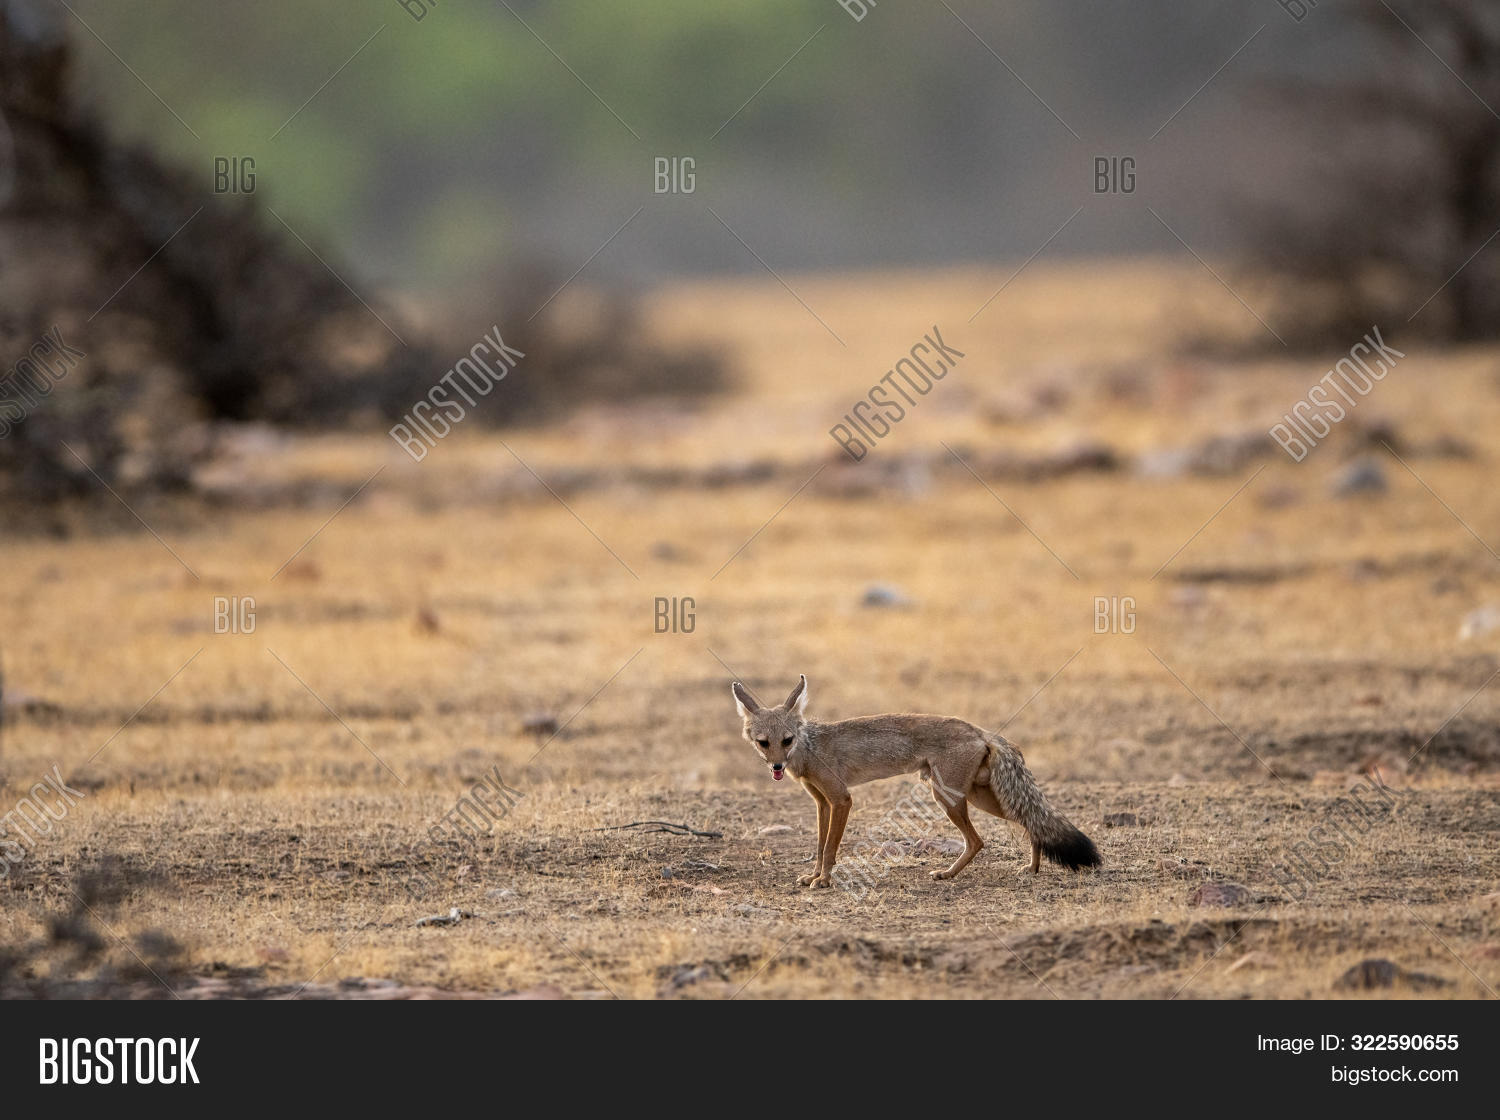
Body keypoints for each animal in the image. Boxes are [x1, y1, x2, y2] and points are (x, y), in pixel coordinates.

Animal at [732, 675, 1100, 888]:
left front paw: (823, 881)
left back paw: (948, 874)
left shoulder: (842, 799)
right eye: (764, 742)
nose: (777, 766)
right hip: (978, 798)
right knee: (1029, 822)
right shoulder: (822, 803)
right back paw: (1031, 868)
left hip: (948, 799)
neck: (811, 748)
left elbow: (831, 848)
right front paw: (815, 875)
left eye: (787, 739)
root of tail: (982, 731)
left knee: (980, 840)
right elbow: (821, 846)